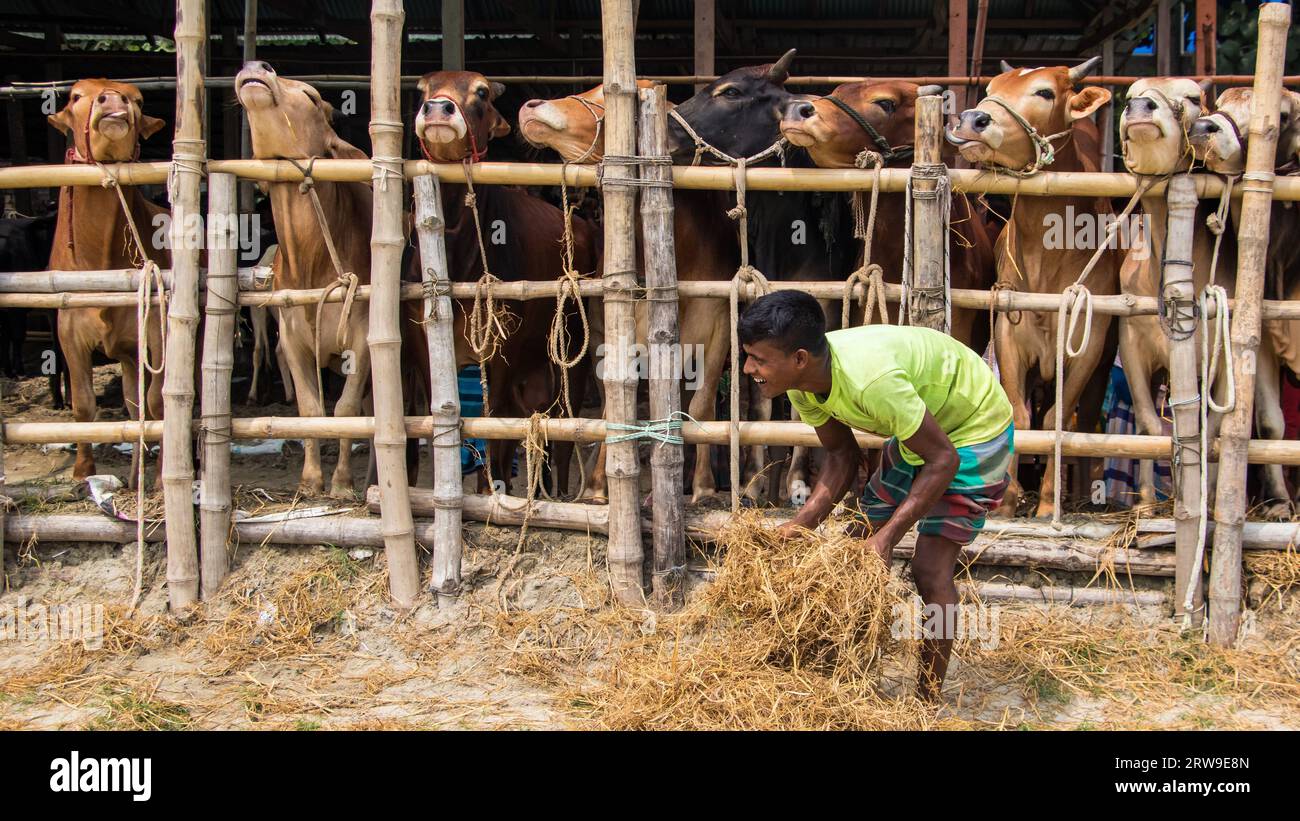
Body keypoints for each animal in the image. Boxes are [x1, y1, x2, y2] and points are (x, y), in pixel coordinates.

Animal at [47, 79, 168, 481]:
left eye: (139, 99)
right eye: (75, 96)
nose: (113, 100)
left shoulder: (155, 329)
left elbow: (157, 402)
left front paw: (161, 474)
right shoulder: (68, 331)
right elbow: (84, 405)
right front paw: (83, 470)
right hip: (127, 354)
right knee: (131, 405)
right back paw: (133, 473)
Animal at [415, 70, 596, 496]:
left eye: (481, 92)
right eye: (422, 89)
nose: (437, 109)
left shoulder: (501, 355)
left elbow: (493, 425)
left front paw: (489, 491)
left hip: (569, 349)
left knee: (561, 427)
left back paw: (557, 492)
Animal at [518, 82, 739, 503]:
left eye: (606, 95)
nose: (530, 105)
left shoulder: (719, 330)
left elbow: (702, 405)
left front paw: (703, 487)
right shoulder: (609, 335)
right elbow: (614, 407)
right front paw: (598, 487)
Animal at [666, 50, 858, 503]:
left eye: (731, 92)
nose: (666, 124)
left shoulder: (821, 309)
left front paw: (798, 481)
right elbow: (759, 401)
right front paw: (754, 480)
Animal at [946, 58, 1116, 518]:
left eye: (1044, 92)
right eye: (992, 88)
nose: (973, 119)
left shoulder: (1088, 344)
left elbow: (1060, 417)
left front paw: (1045, 504)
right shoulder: (1008, 333)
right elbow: (1020, 416)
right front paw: (1006, 503)